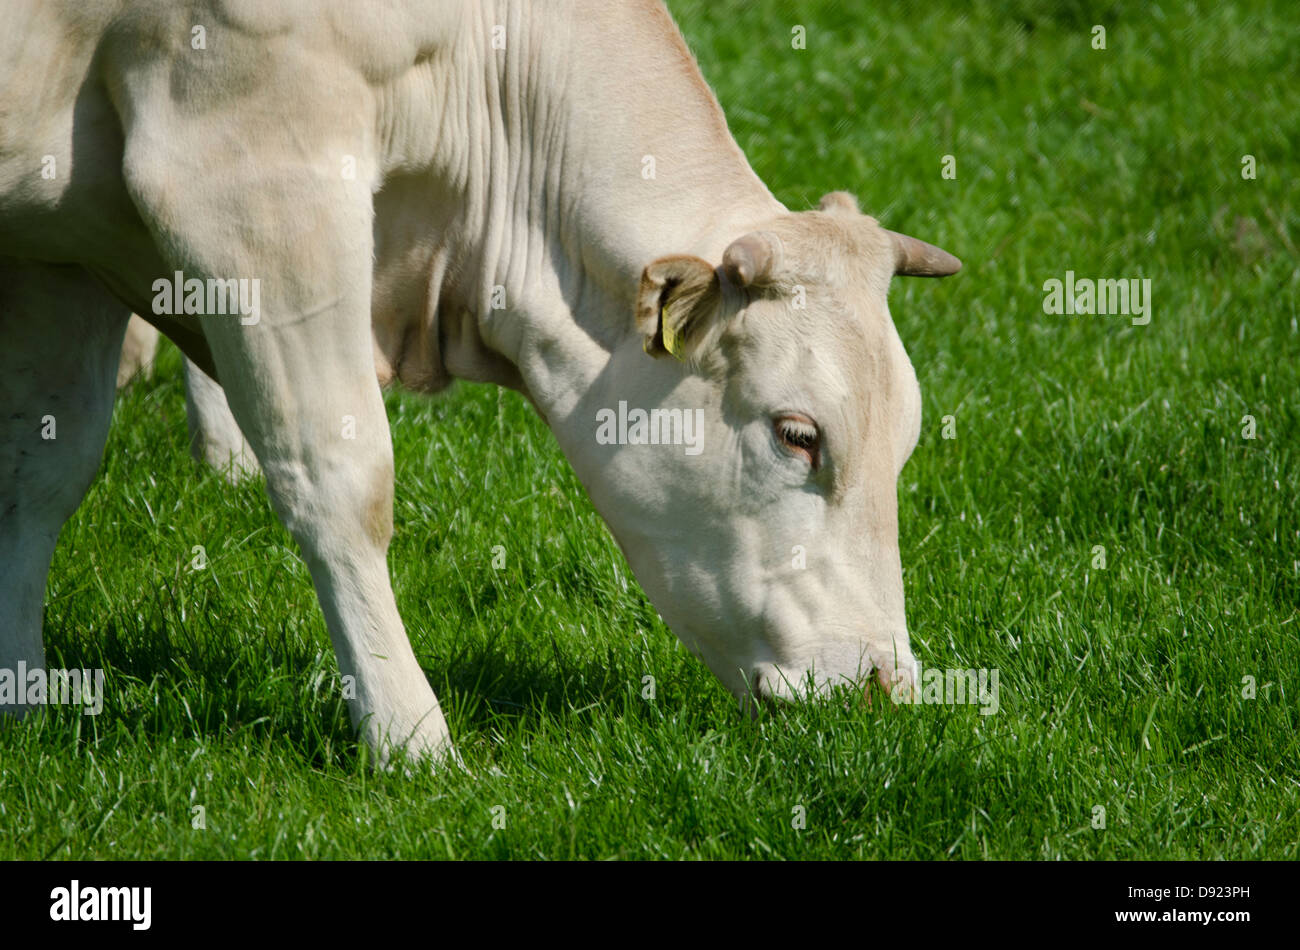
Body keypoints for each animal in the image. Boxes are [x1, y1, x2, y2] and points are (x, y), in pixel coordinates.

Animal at [0, 0, 959, 769]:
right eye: (798, 435)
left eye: (907, 446)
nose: (882, 688)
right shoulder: (249, 183)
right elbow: (342, 480)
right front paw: (410, 738)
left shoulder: (60, 241)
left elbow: (43, 473)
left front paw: (23, 697)